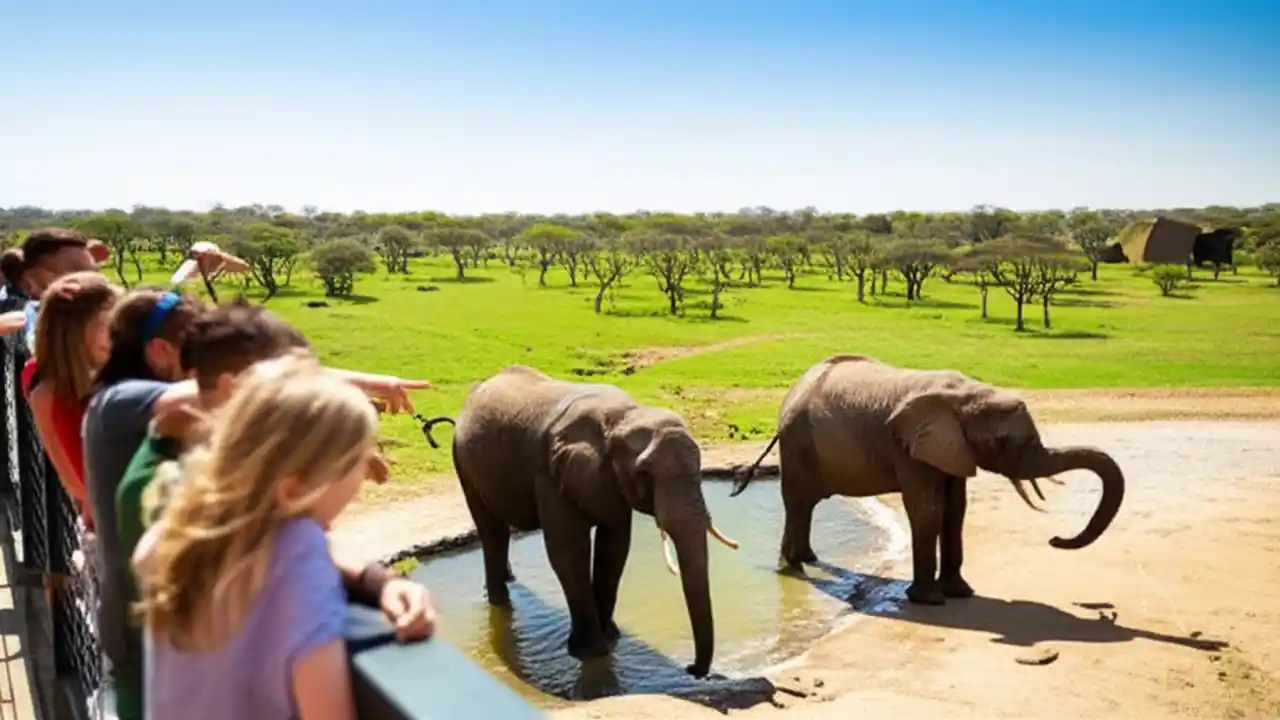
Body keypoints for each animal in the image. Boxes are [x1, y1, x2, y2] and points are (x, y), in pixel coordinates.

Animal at [450, 365, 738, 677]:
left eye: (700, 465)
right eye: (644, 472)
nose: (691, 668)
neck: (624, 416)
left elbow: (614, 547)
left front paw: (612, 638)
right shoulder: (551, 473)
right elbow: (569, 550)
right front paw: (592, 652)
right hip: (461, 460)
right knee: (492, 530)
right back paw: (500, 601)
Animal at [731, 354, 1125, 605]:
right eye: (1002, 442)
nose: (1055, 539)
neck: (965, 394)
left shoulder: (952, 449)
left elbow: (955, 510)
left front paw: (961, 593)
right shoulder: (908, 448)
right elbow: (926, 508)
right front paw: (929, 601)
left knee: (805, 505)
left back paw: (808, 558)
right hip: (798, 443)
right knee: (798, 503)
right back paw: (793, 569)